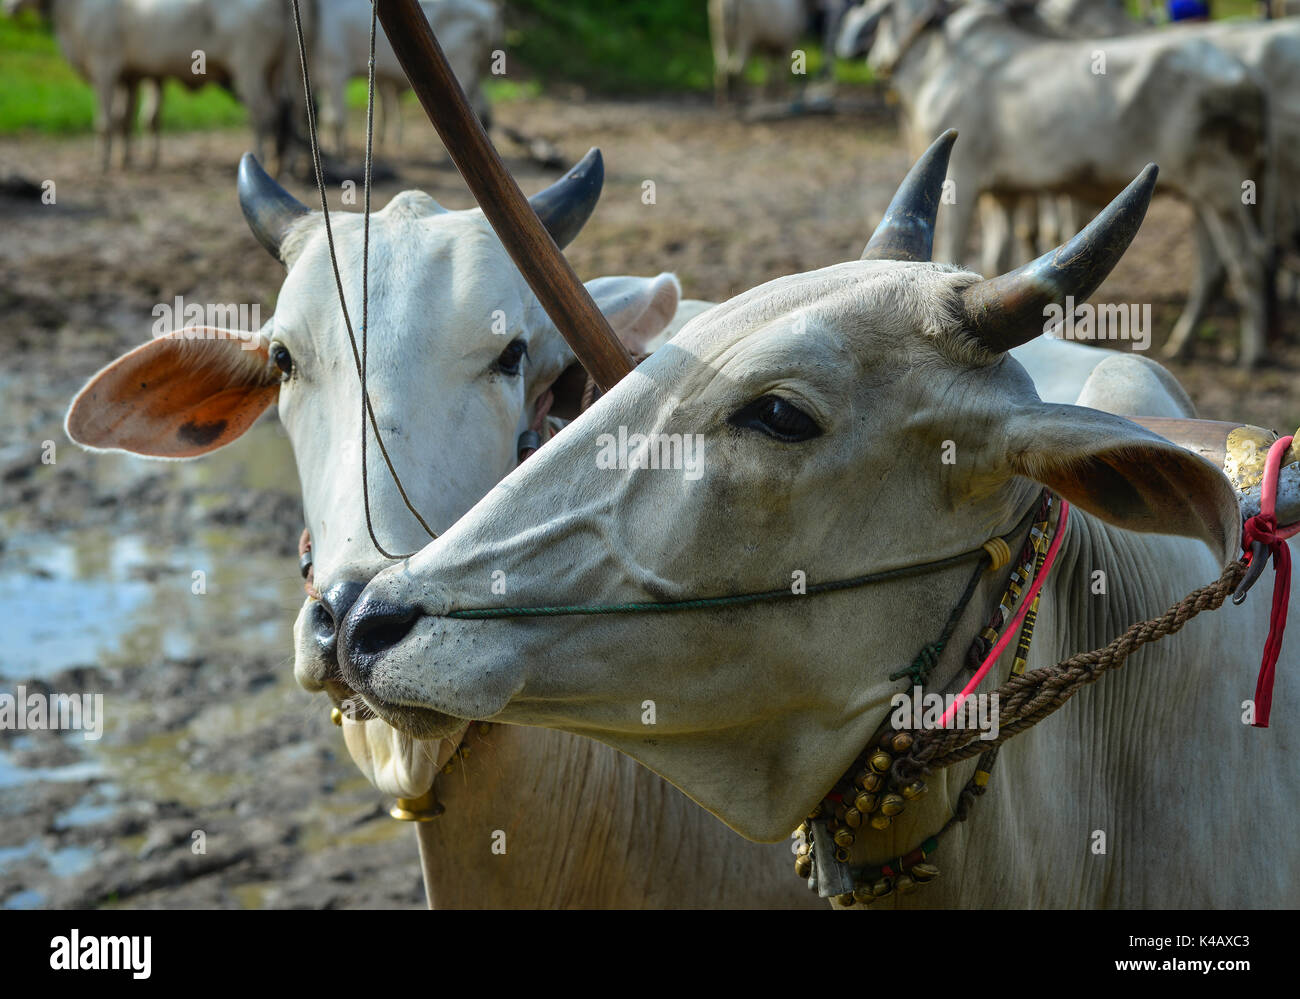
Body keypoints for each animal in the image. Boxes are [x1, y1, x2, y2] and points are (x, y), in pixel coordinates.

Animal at [836, 0, 1273, 367]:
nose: (862, 56)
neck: (935, 61)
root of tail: (1245, 80)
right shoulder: (1005, 193)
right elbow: (998, 257)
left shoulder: (964, 177)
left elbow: (954, 247)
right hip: (1202, 193)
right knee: (1212, 264)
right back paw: (1184, 341)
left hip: (1219, 186)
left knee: (1249, 259)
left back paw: (1251, 354)